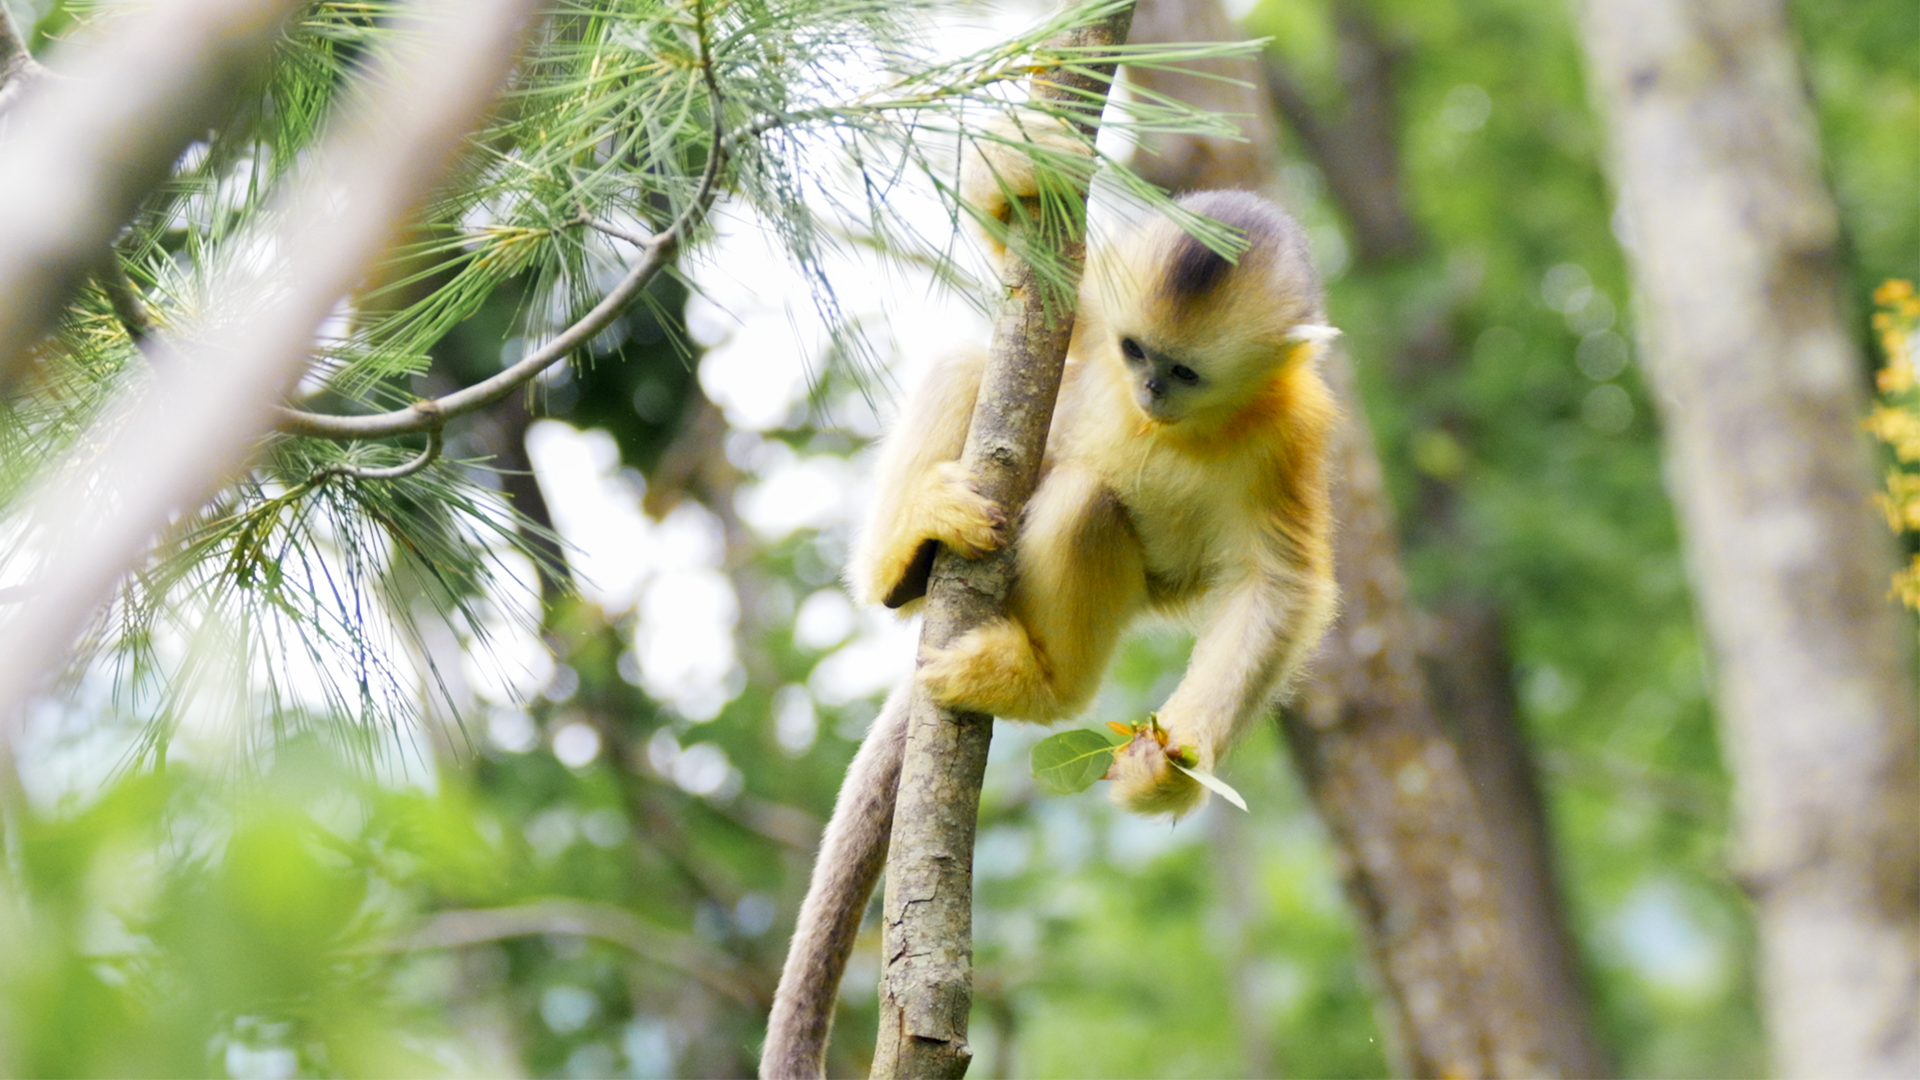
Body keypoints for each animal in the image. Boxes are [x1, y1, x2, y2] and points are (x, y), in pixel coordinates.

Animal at [761, 137, 1339, 1080]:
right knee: (970, 368)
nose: (1150, 393)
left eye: (1185, 370)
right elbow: (1022, 266)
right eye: (1137, 352)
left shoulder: (1297, 431)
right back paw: (903, 564)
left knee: (1085, 502)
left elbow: (1280, 589)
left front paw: (1170, 766)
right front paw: (1031, 165)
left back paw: (1039, 682)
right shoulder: (1097, 320)